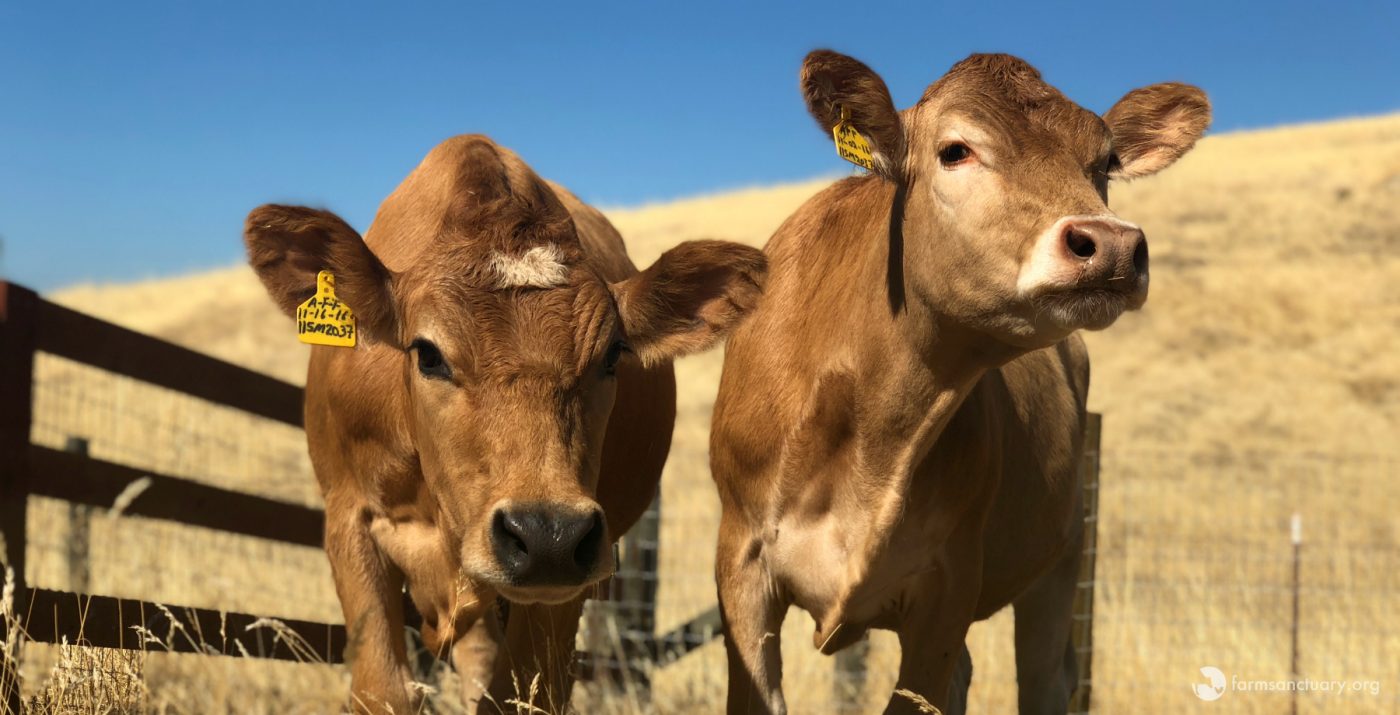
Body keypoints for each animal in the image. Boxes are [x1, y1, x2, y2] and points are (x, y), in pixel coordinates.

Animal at [243, 135, 766, 713]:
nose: (547, 534)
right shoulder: (349, 515)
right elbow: (382, 689)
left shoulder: (562, 585)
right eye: (427, 354)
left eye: (613, 356)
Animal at [709, 51, 1209, 714]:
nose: (1112, 245)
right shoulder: (741, 562)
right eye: (955, 150)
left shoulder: (948, 587)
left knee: (1043, 679)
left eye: (1104, 162)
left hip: (1061, 560)